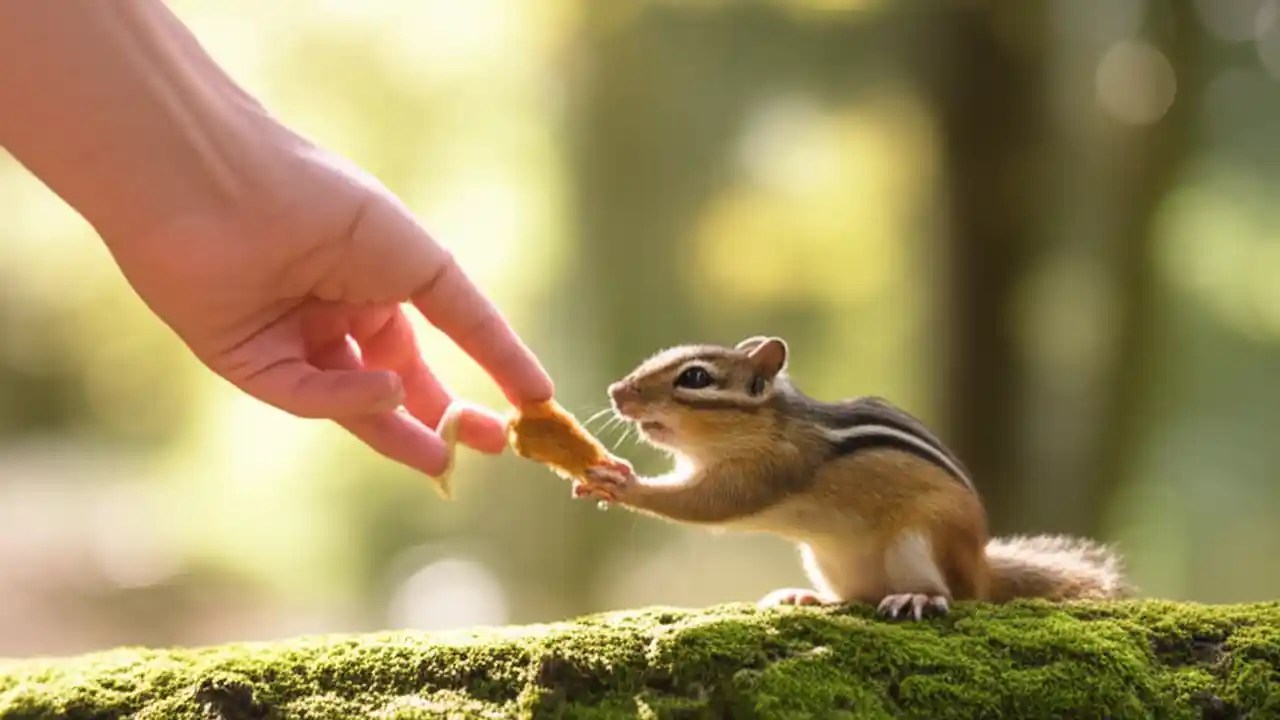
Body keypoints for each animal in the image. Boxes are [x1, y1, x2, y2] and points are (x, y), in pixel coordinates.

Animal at [575, 336, 1130, 620]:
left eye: (694, 377)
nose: (617, 391)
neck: (768, 421)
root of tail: (983, 566)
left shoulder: (771, 468)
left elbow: (709, 503)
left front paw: (623, 483)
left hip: (921, 540)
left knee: (955, 596)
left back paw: (919, 597)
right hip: (828, 560)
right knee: (855, 597)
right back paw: (806, 597)